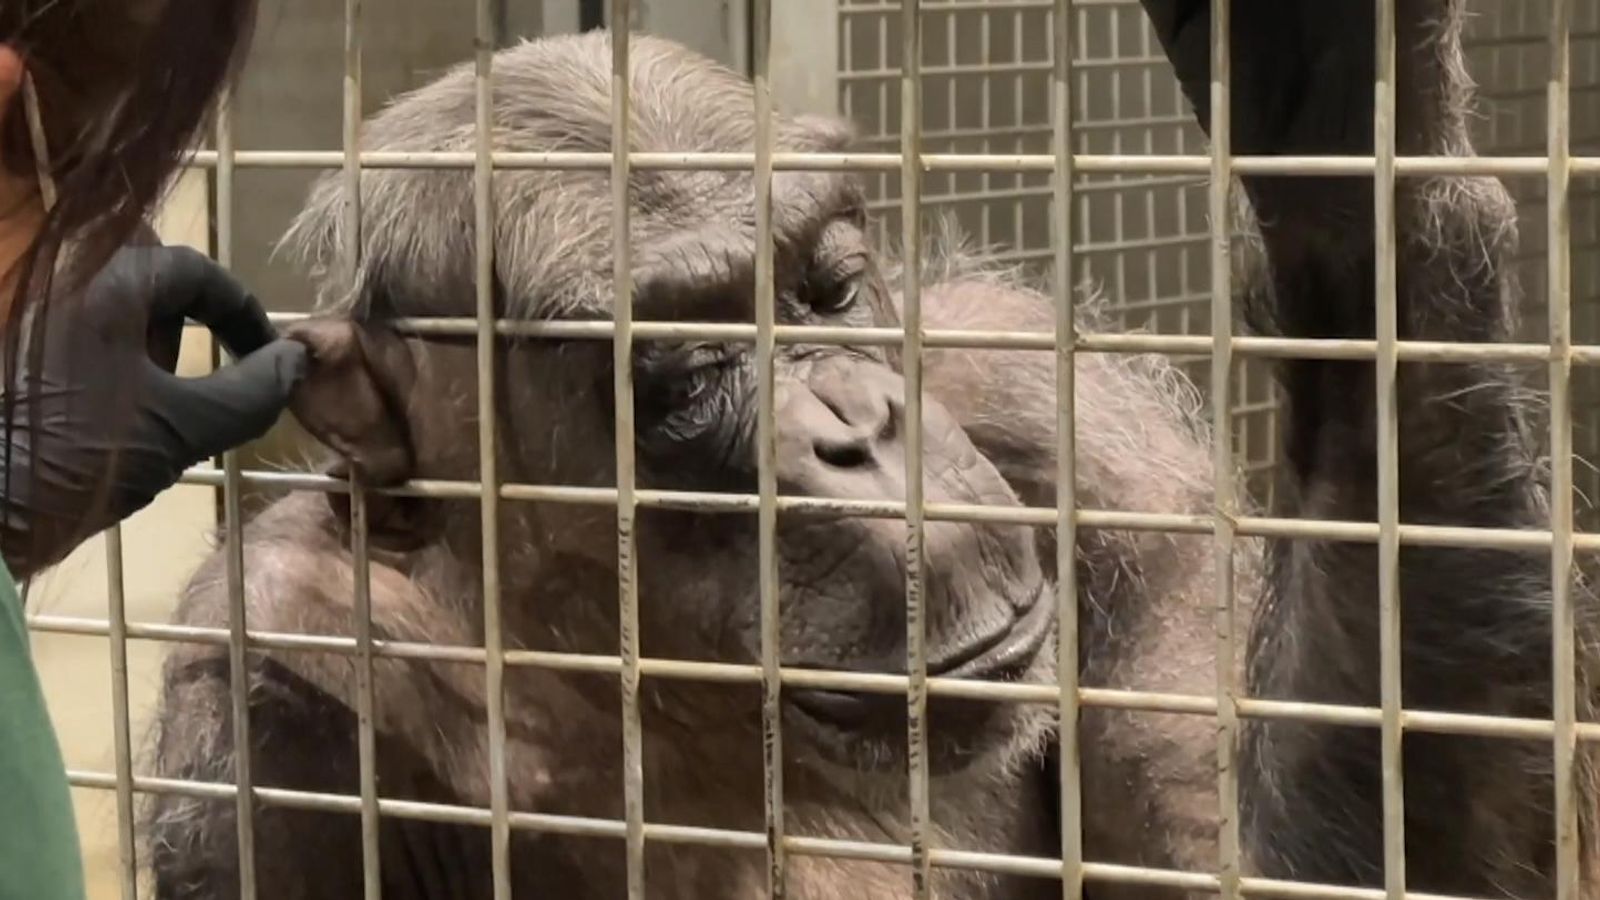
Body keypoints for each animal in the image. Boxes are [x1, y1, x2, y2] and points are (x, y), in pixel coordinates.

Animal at [140, 1, 1600, 897]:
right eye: (679, 382)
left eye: (826, 288)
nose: (856, 429)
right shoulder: (269, 696)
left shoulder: (1089, 441)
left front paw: (1344, 115)